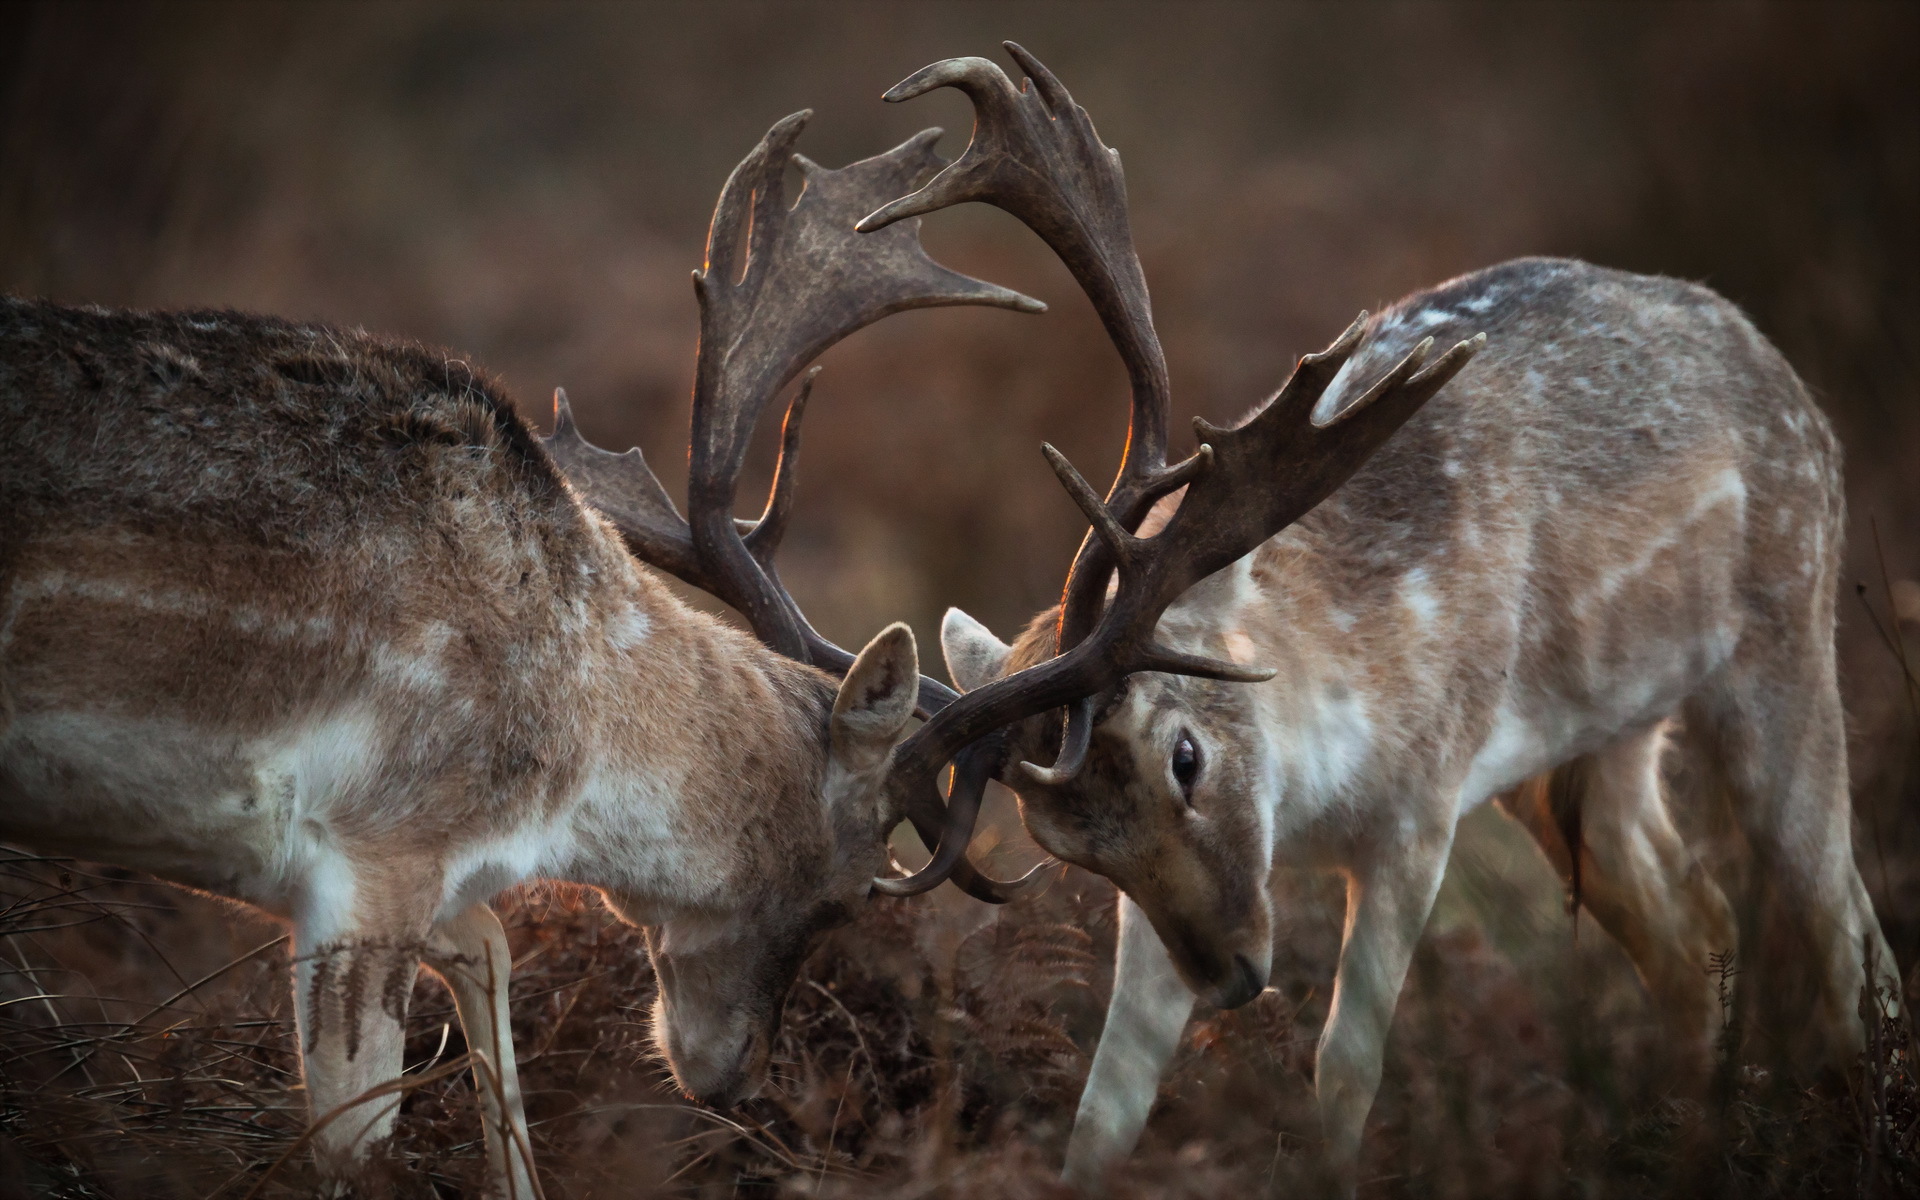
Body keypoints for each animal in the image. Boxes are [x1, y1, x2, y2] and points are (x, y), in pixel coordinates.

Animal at [845, 45, 1906, 1193]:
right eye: (1064, 843)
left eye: (1185, 754)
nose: (1234, 978)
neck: (1317, 785)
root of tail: (1781, 370)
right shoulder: (1174, 908)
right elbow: (1104, 1103)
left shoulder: (1421, 808)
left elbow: (1343, 1067)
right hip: (1582, 759)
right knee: (1696, 923)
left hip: (1786, 634)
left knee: (1850, 930)